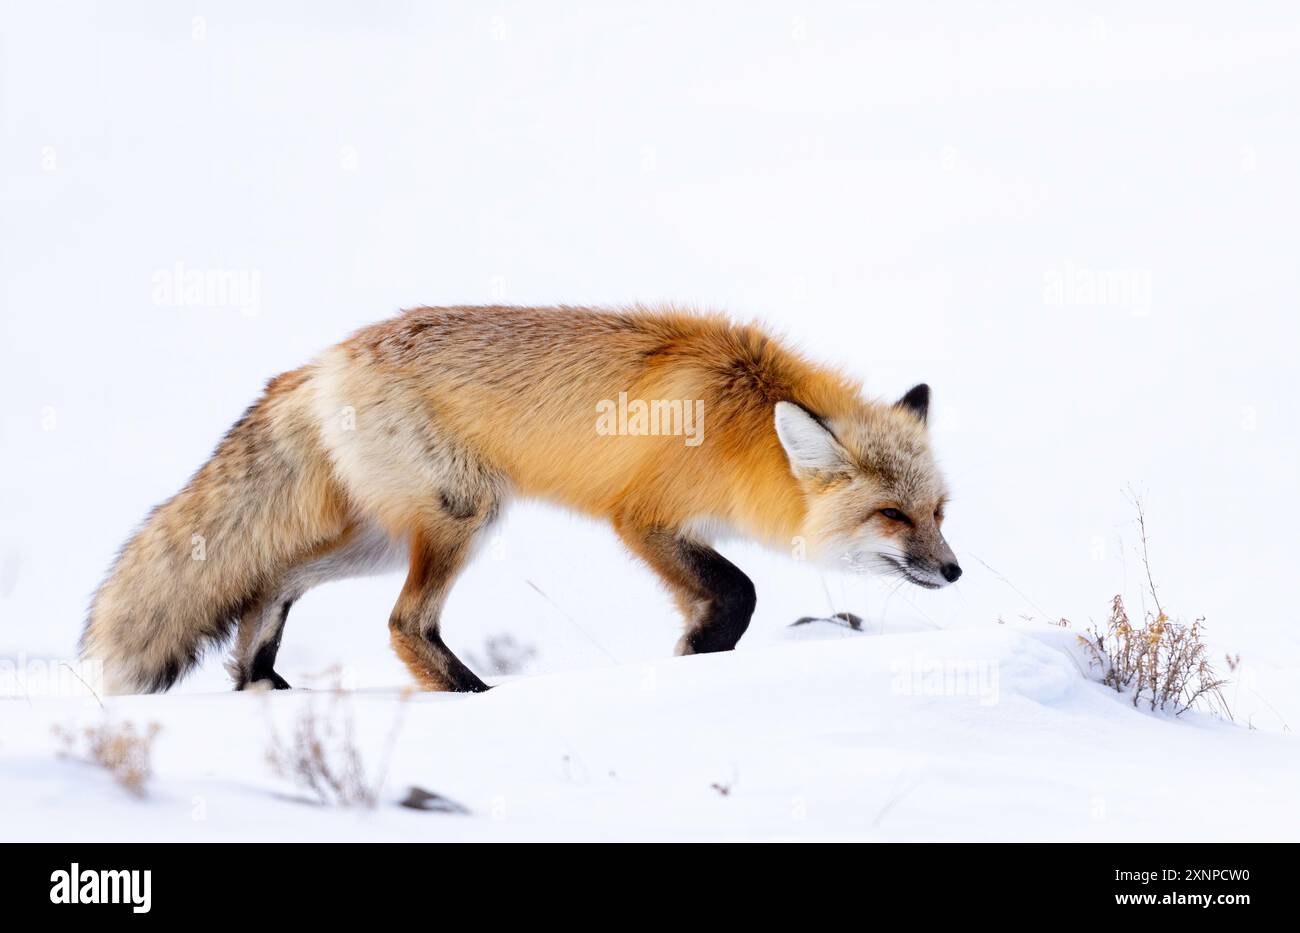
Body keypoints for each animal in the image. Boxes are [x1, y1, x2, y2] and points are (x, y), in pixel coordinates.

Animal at [81, 305, 960, 694]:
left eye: (940, 512)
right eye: (891, 515)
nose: (953, 572)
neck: (737, 419)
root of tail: (322, 359)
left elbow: (731, 593)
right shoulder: (642, 518)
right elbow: (737, 590)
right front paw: (692, 658)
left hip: (381, 538)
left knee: (271, 580)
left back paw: (259, 679)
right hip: (460, 517)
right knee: (404, 623)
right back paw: (473, 696)